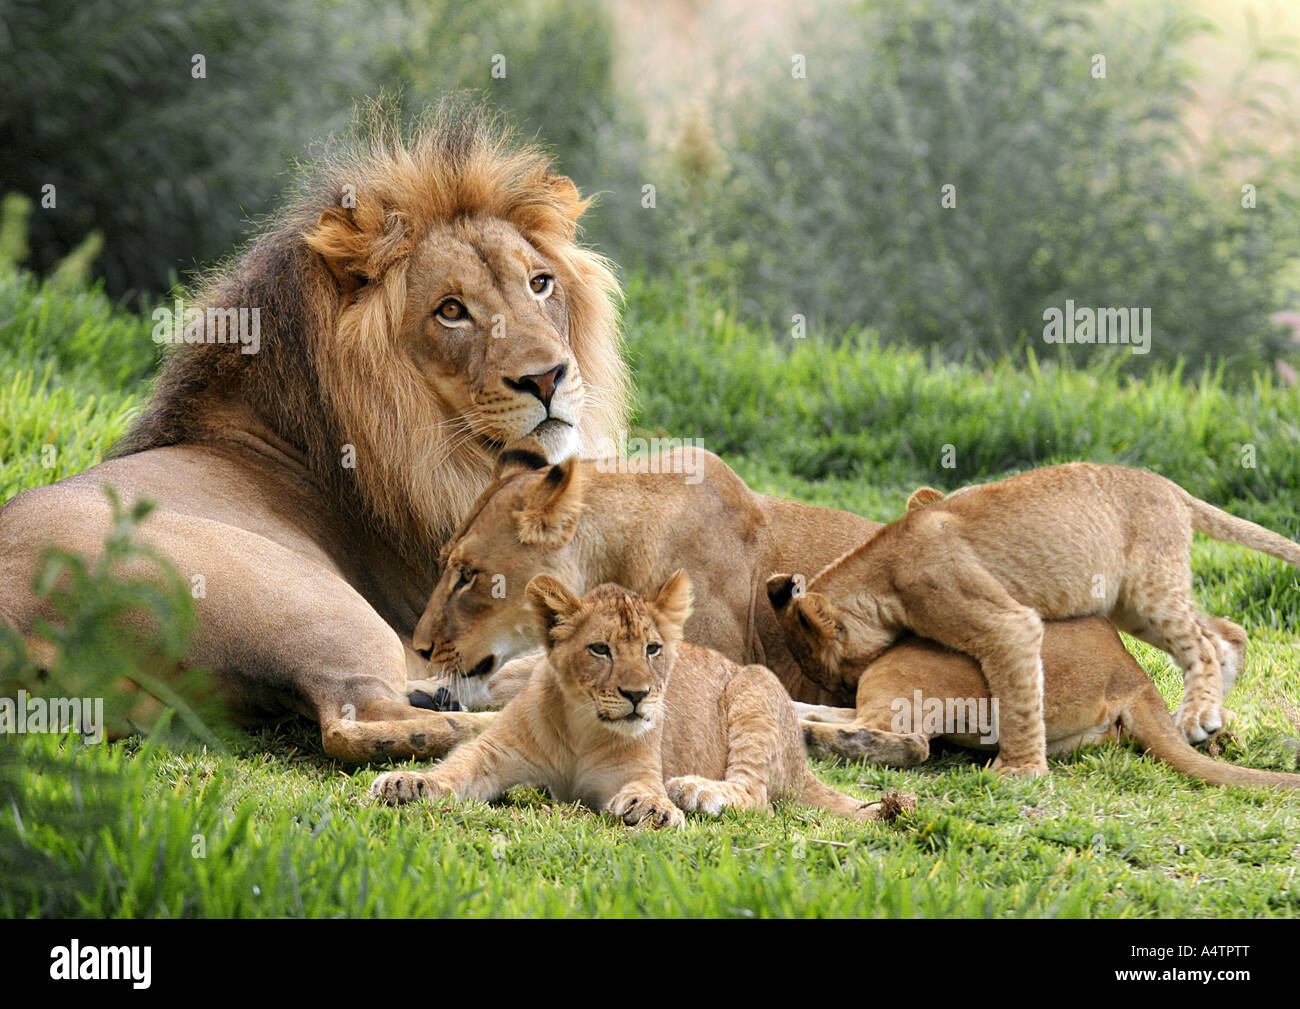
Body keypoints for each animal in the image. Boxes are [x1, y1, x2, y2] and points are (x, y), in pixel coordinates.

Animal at [371, 571, 884, 824]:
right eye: (600, 649)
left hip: (755, 684)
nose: (637, 695)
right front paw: (407, 783)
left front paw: (654, 810)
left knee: (756, 795)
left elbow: (645, 788)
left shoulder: (637, 770)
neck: (582, 728)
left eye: (652, 649)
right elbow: (456, 767)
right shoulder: (495, 752)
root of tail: (800, 762)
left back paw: (696, 791)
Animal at [767, 462, 1300, 776]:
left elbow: (1020, 697)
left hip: (1149, 589)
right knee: (1228, 632)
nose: (842, 688)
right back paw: (1209, 722)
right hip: (1127, 602)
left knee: (1201, 645)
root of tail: (1171, 487)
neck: (883, 569)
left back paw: (1197, 716)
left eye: (833, 670)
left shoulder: (1007, 622)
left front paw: (1021, 773)